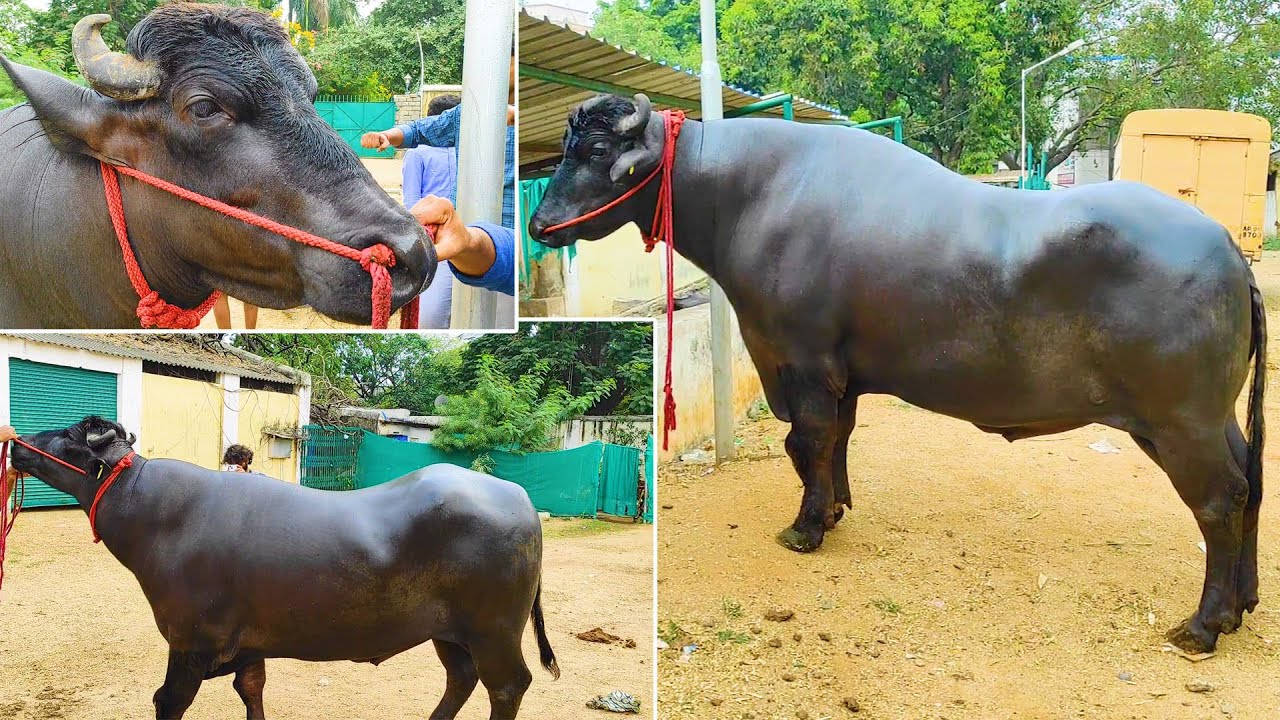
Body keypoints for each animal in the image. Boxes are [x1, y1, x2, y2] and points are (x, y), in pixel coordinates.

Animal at [8, 416, 557, 719]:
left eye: (67, 435)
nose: (15, 443)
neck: (158, 514)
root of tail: (520, 498)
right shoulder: (251, 648)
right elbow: (250, 691)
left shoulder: (189, 645)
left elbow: (169, 700)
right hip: (451, 633)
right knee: (461, 679)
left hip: (494, 632)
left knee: (507, 686)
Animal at [529, 94, 1267, 655]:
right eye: (565, 150)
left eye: (596, 151)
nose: (539, 223)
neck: (747, 196)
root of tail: (1227, 246)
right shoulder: (842, 374)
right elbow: (837, 440)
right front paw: (835, 509)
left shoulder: (801, 362)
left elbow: (806, 442)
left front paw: (805, 529)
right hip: (1210, 420)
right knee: (1252, 482)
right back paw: (1243, 603)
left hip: (1180, 423)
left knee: (1219, 499)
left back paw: (1204, 624)